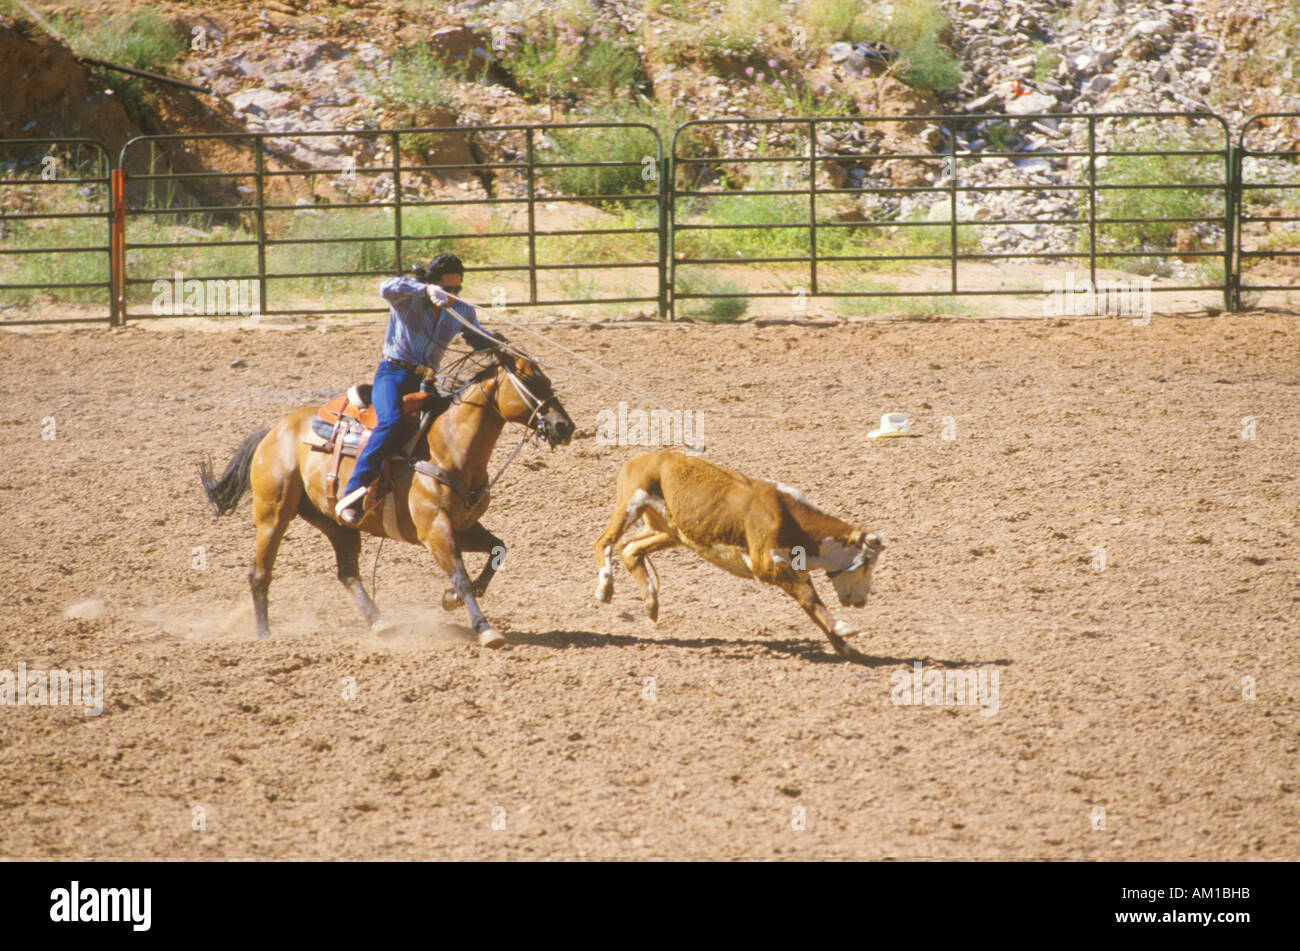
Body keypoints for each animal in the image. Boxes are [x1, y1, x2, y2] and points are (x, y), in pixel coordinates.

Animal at [594, 450, 884, 659]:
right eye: (867, 562)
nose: (862, 601)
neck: (788, 516)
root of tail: (641, 458)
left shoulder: (793, 569)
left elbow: (810, 603)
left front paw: (845, 647)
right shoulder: (765, 564)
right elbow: (809, 598)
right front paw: (845, 629)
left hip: (666, 529)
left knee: (630, 549)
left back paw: (651, 603)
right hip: (631, 502)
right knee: (604, 542)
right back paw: (605, 587)